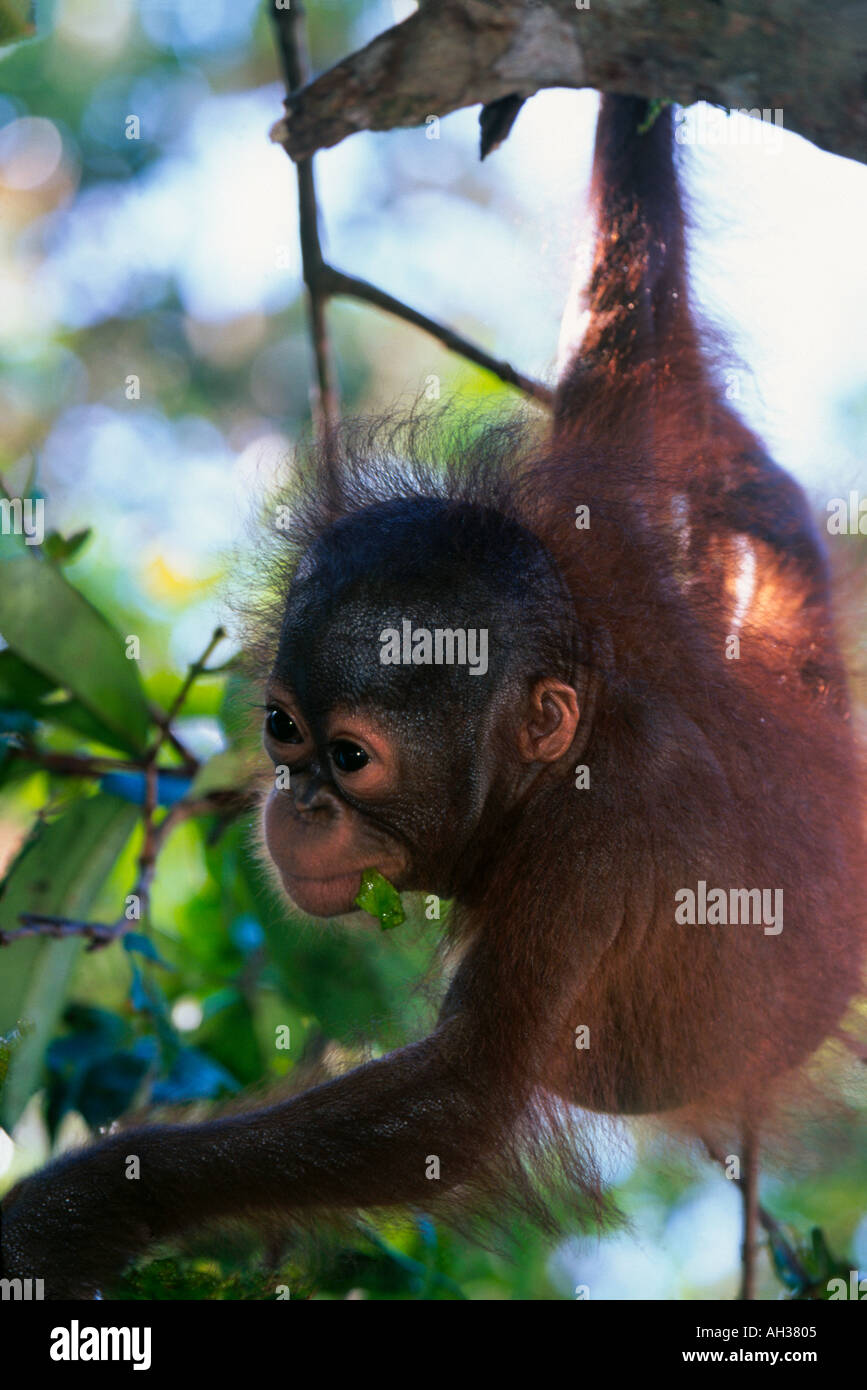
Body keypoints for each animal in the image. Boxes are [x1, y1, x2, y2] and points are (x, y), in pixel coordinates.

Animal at [0, 95, 864, 1299]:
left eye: (351, 757)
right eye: (282, 729)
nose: (298, 800)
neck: (576, 729)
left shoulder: (598, 842)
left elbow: (451, 1099)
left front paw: (77, 1210)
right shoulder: (591, 548)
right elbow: (628, 320)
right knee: (690, 423)